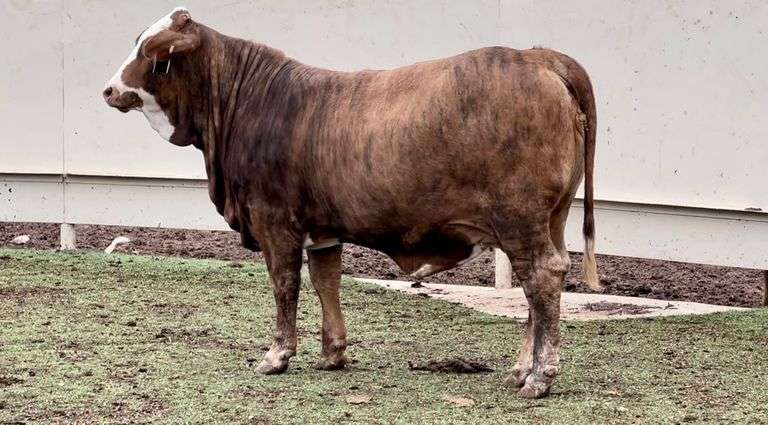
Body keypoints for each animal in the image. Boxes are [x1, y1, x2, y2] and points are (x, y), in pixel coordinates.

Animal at [103, 7, 599, 398]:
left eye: (152, 53)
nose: (108, 89)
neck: (245, 102)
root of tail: (536, 55)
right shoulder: (323, 231)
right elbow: (327, 283)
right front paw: (332, 354)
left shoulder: (274, 223)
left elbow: (285, 286)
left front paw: (277, 355)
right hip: (552, 217)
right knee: (541, 284)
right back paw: (520, 370)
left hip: (519, 219)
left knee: (542, 277)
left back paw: (540, 378)